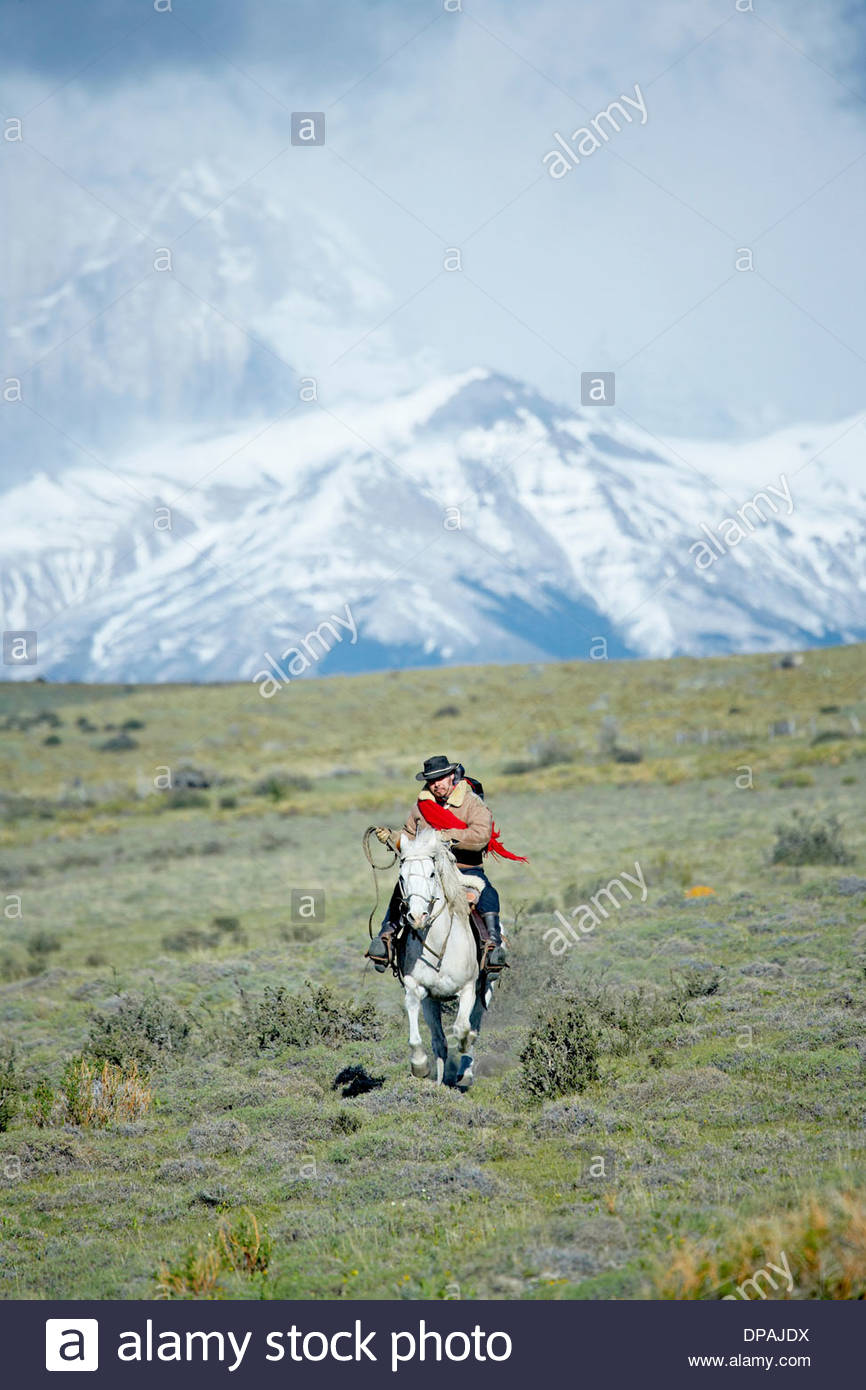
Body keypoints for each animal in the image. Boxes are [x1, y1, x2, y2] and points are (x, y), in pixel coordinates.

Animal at [391, 825, 489, 1088]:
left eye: (433, 873)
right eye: (401, 877)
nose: (416, 917)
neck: (438, 948)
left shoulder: (468, 989)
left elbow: (463, 1029)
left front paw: (464, 1065)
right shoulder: (416, 990)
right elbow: (420, 1037)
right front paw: (419, 1066)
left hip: (485, 990)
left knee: (473, 1026)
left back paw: (465, 1073)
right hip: (432, 1002)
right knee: (439, 1042)